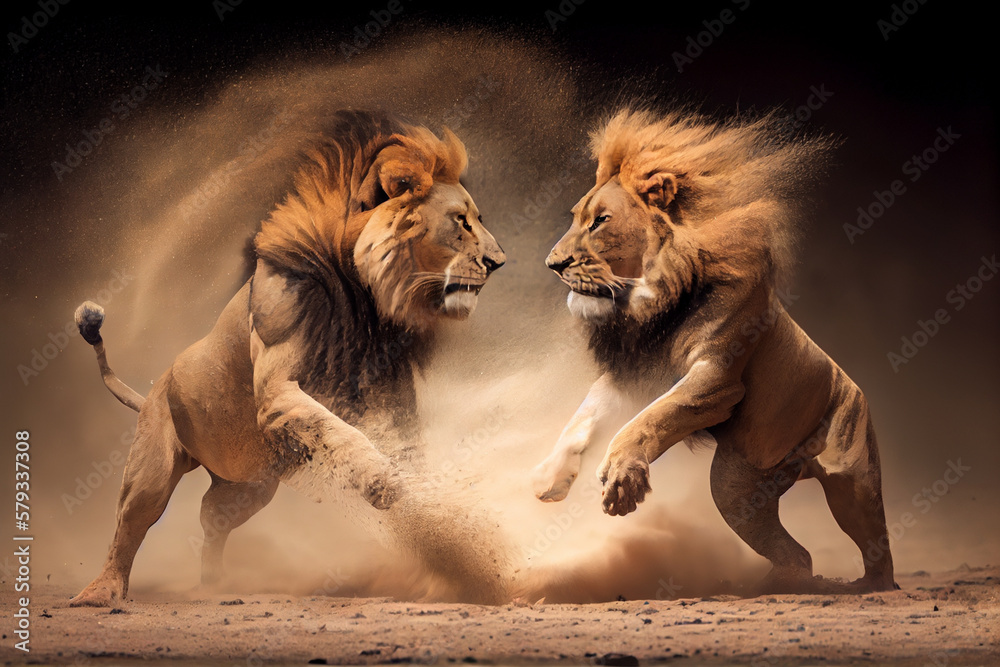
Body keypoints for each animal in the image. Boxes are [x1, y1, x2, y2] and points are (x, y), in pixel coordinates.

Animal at [70, 110, 505, 607]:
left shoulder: (390, 389)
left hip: (248, 487)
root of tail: (154, 392)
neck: (362, 294)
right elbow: (340, 432)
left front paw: (431, 507)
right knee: (129, 525)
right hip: (152, 471)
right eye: (460, 222)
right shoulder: (278, 389)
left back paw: (215, 586)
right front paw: (385, 485)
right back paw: (101, 592)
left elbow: (404, 444)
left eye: (475, 219)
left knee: (211, 520)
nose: (499, 261)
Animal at [530, 109, 896, 593]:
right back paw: (771, 585)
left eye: (600, 220)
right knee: (797, 554)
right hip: (736, 486)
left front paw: (622, 481)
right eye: (576, 218)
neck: (654, 298)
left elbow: (649, 419)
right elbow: (585, 415)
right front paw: (550, 476)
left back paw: (872, 586)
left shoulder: (716, 378)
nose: (553, 265)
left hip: (852, 486)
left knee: (876, 542)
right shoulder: (635, 373)